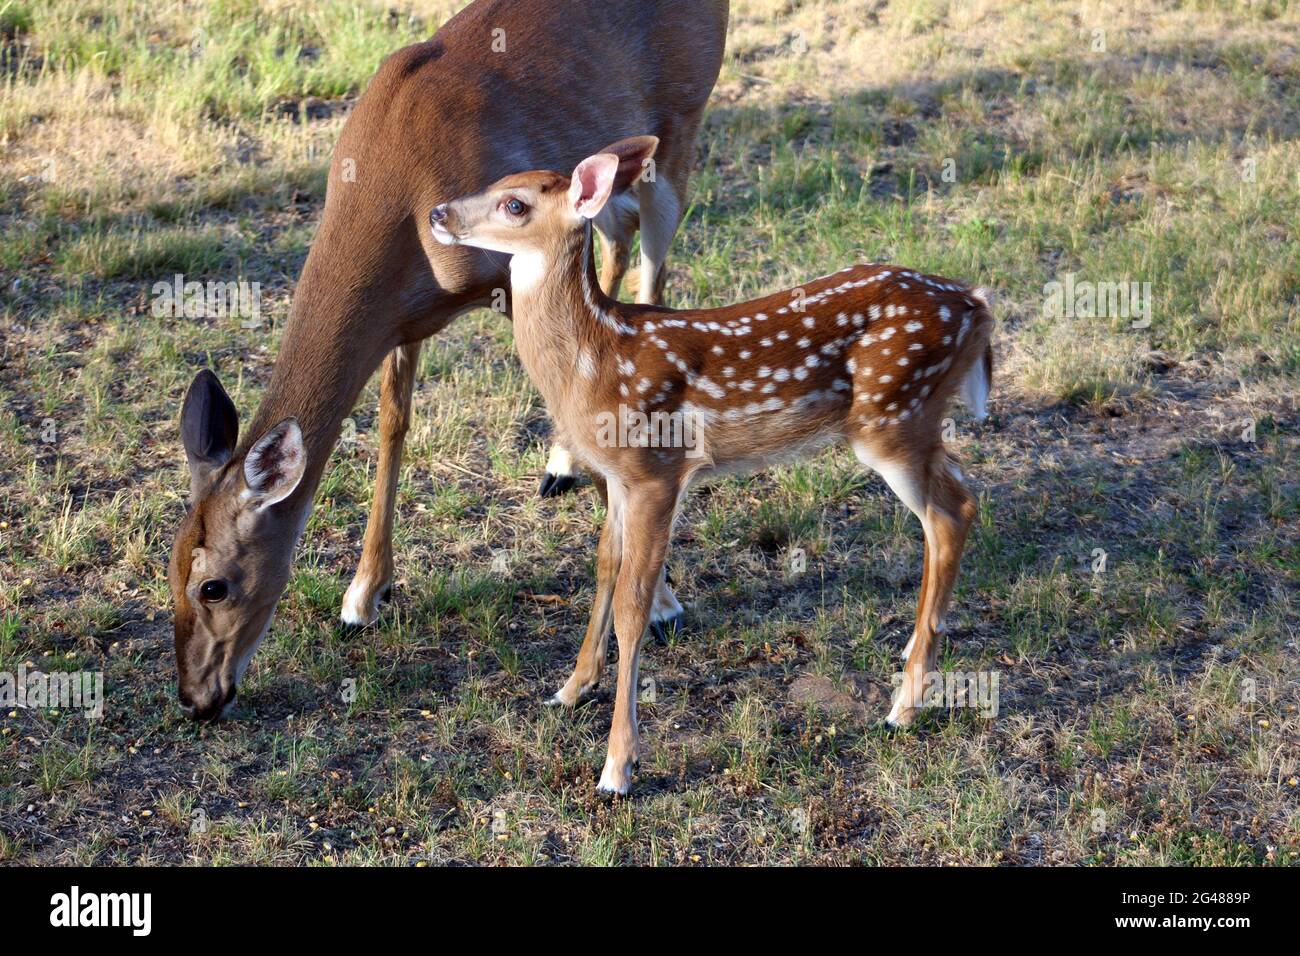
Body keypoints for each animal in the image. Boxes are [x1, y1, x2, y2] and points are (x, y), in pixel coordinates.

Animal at [169, 0, 729, 720]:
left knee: (651, 279)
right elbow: (393, 422)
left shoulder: (506, 274)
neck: (390, 197)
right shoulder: (405, 318)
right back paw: (558, 465)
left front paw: (662, 601)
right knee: (616, 244)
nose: (195, 698)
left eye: (215, 585)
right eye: (168, 565)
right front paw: (364, 593)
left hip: (681, 131)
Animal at [429, 136, 995, 794]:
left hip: (893, 417)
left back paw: (903, 707)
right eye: (498, 181)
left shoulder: (657, 469)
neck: (593, 362)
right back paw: (912, 655)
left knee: (950, 512)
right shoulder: (618, 477)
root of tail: (976, 303)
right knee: (962, 500)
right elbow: (603, 569)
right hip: (912, 420)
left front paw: (618, 767)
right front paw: (569, 691)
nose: (438, 214)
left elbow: (634, 608)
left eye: (515, 204)